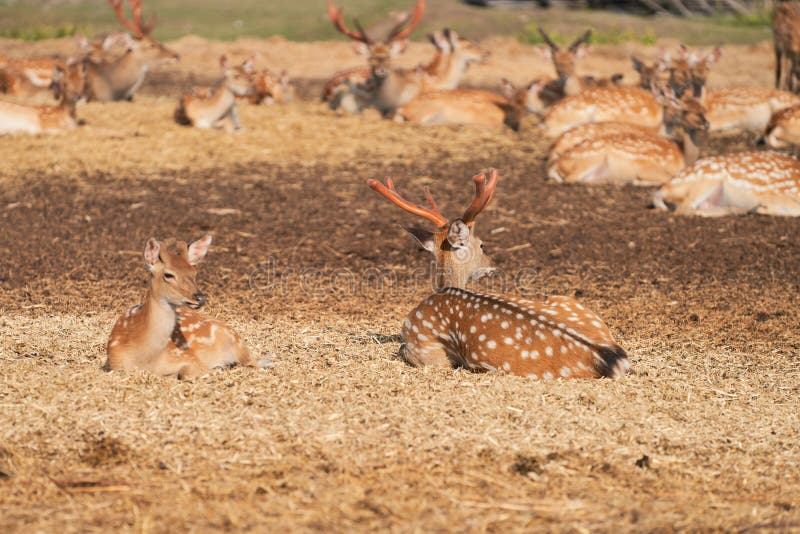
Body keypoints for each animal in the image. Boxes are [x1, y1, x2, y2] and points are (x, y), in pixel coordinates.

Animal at [106, 236, 267, 379]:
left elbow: (186, 373)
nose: (200, 297)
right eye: (168, 274)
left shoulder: (189, 357)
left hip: (238, 346)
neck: (144, 359)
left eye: (194, 272)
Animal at [367, 170, 629, 379]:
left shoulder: (425, 346)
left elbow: (404, 349)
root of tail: (611, 357)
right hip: (569, 302)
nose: (492, 265)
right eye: (483, 245)